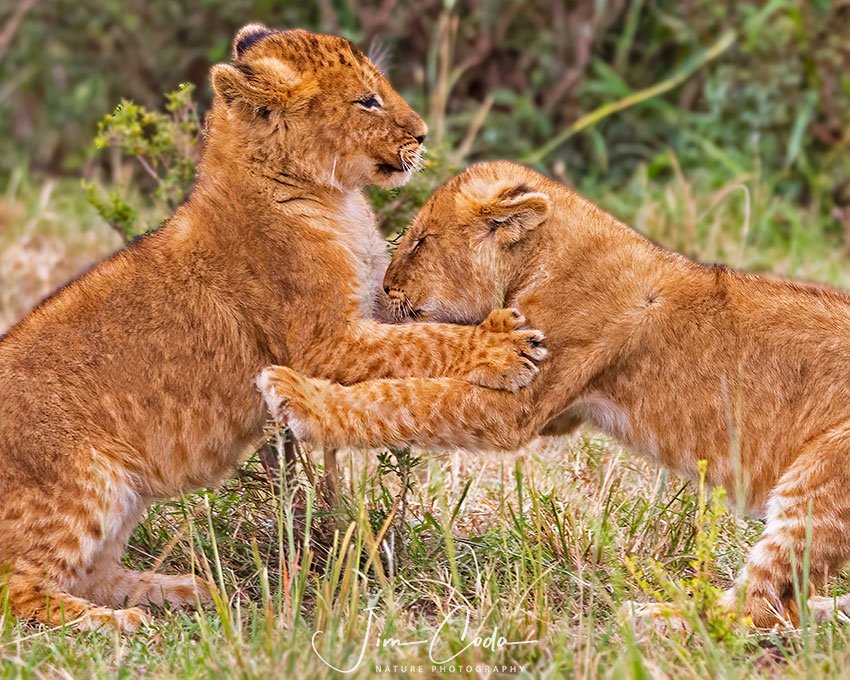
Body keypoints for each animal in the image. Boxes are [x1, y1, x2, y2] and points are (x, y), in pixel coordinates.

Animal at [0, 32, 546, 632]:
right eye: (367, 101)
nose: (423, 134)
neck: (334, 200)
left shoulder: (375, 307)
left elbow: (424, 325)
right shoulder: (325, 344)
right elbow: (425, 343)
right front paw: (502, 347)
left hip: (123, 499)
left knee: (91, 575)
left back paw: (181, 591)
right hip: (81, 484)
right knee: (18, 591)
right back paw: (116, 622)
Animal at [259, 159, 850, 629]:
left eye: (421, 240)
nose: (383, 288)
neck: (548, 254)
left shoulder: (515, 409)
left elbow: (403, 397)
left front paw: (296, 395)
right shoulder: (557, 411)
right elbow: (416, 363)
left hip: (821, 478)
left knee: (761, 609)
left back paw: (660, 616)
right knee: (788, 607)